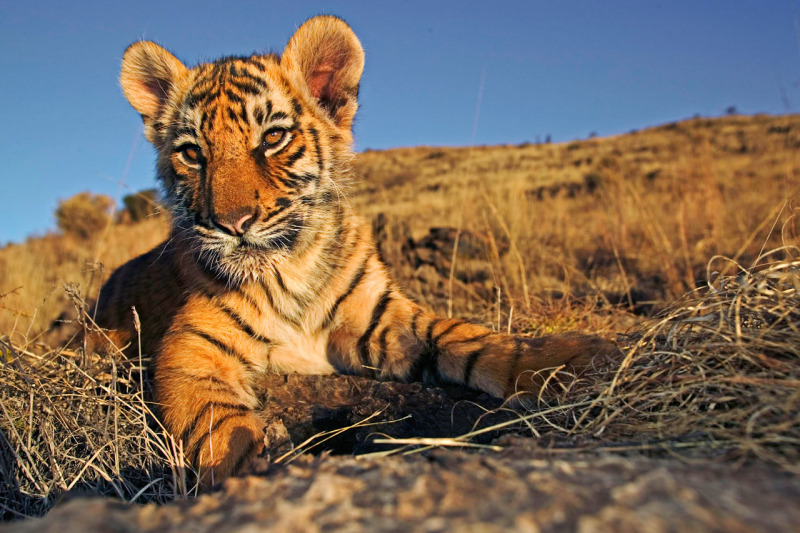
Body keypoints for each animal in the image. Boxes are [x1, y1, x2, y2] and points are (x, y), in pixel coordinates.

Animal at [94, 15, 619, 486]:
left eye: (272, 137)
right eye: (192, 154)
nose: (233, 222)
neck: (289, 268)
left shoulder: (380, 319)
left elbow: (469, 338)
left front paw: (573, 359)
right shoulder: (192, 348)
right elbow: (216, 422)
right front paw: (253, 472)